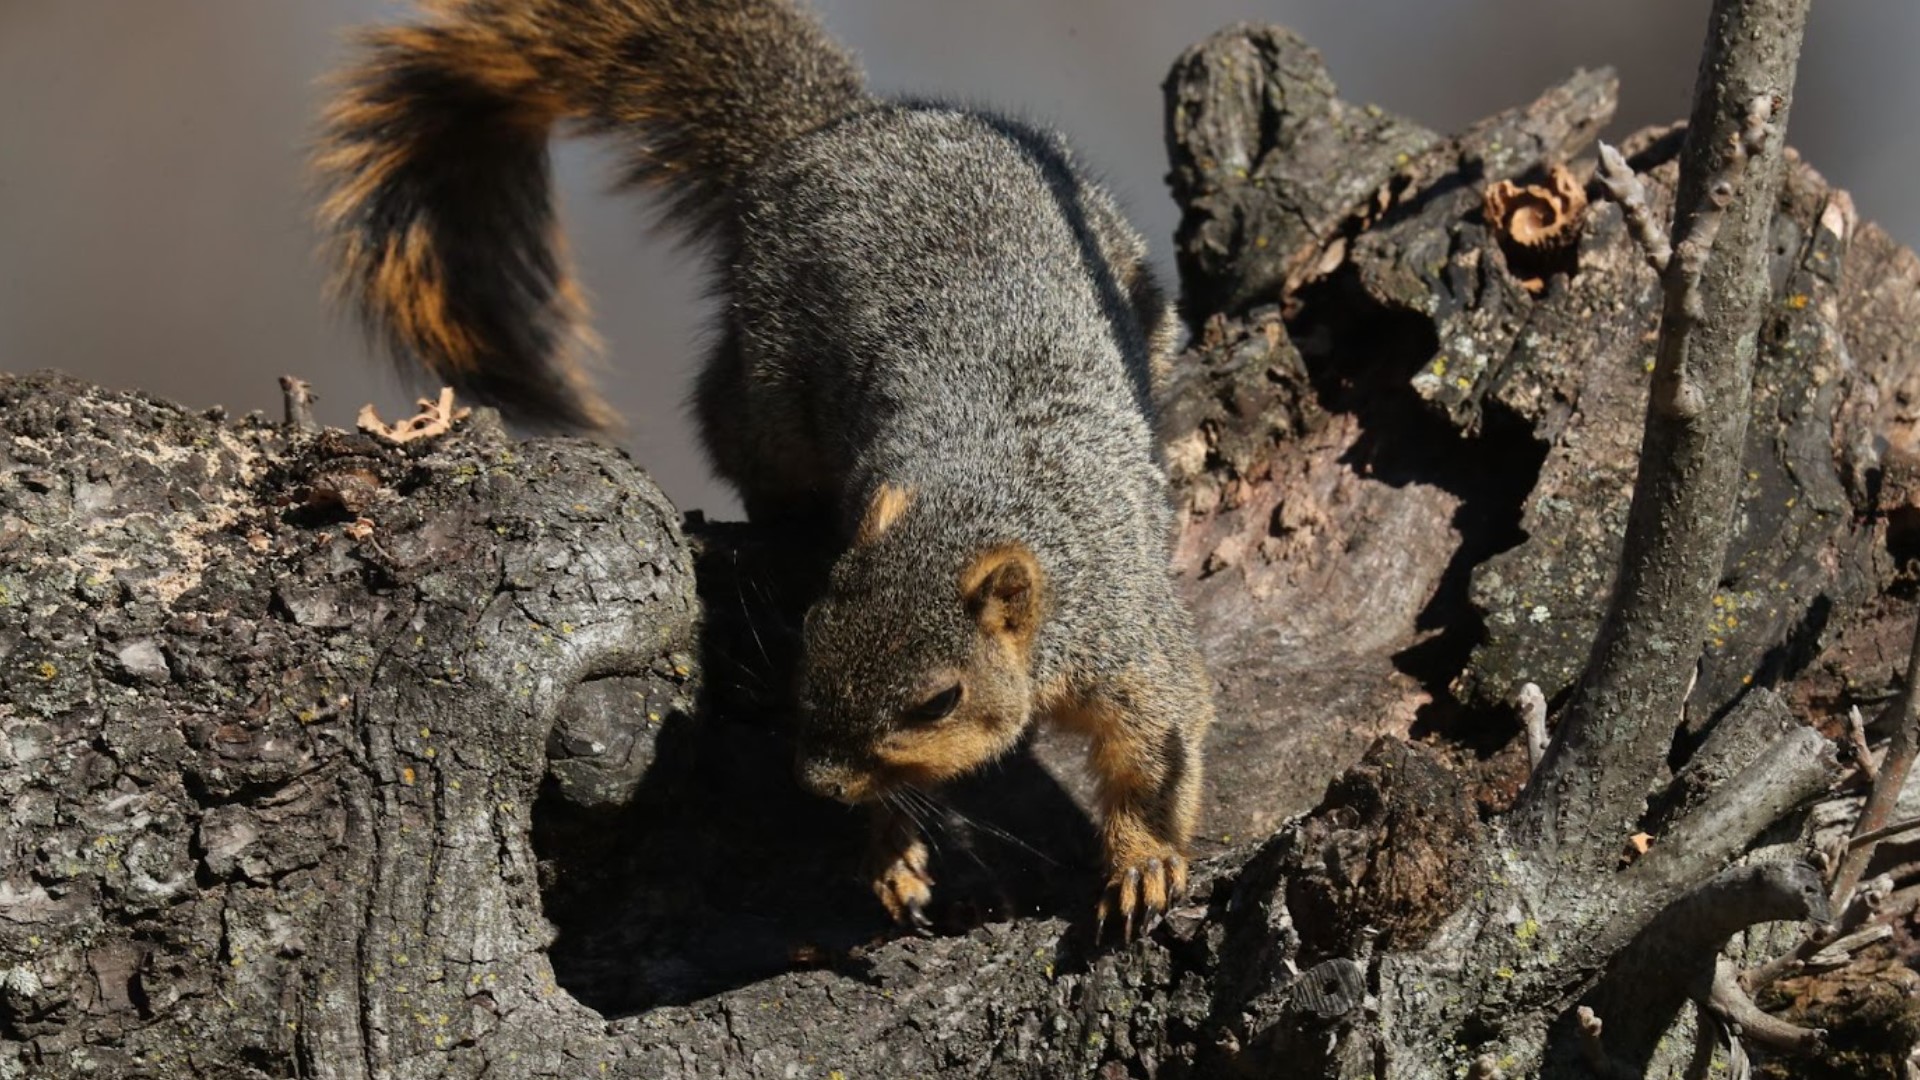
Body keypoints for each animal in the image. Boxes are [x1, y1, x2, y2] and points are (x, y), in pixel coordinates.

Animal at [315, 0, 1214, 938]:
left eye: (940, 700)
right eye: (812, 636)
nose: (819, 783)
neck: (971, 512)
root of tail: (844, 128)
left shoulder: (1122, 632)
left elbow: (1160, 741)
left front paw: (1144, 864)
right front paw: (889, 853)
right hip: (775, 385)